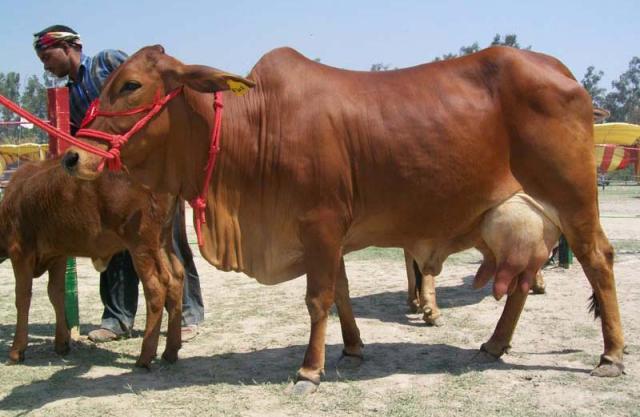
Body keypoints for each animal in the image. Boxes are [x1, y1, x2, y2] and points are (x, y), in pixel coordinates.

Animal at [0, 158, 183, 368]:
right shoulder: (58, 255)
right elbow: (56, 293)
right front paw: (61, 342)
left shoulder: (20, 252)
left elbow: (22, 298)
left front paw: (16, 350)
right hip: (162, 240)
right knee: (176, 278)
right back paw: (170, 351)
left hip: (142, 243)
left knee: (157, 287)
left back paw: (145, 356)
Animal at [62, 45, 625, 393]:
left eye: (131, 85)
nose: (72, 155)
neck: (258, 127)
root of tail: (561, 71)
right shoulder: (330, 233)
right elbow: (342, 293)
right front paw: (352, 349)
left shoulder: (321, 222)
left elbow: (318, 299)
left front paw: (310, 370)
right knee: (523, 279)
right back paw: (494, 344)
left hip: (573, 199)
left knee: (598, 260)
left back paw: (611, 356)